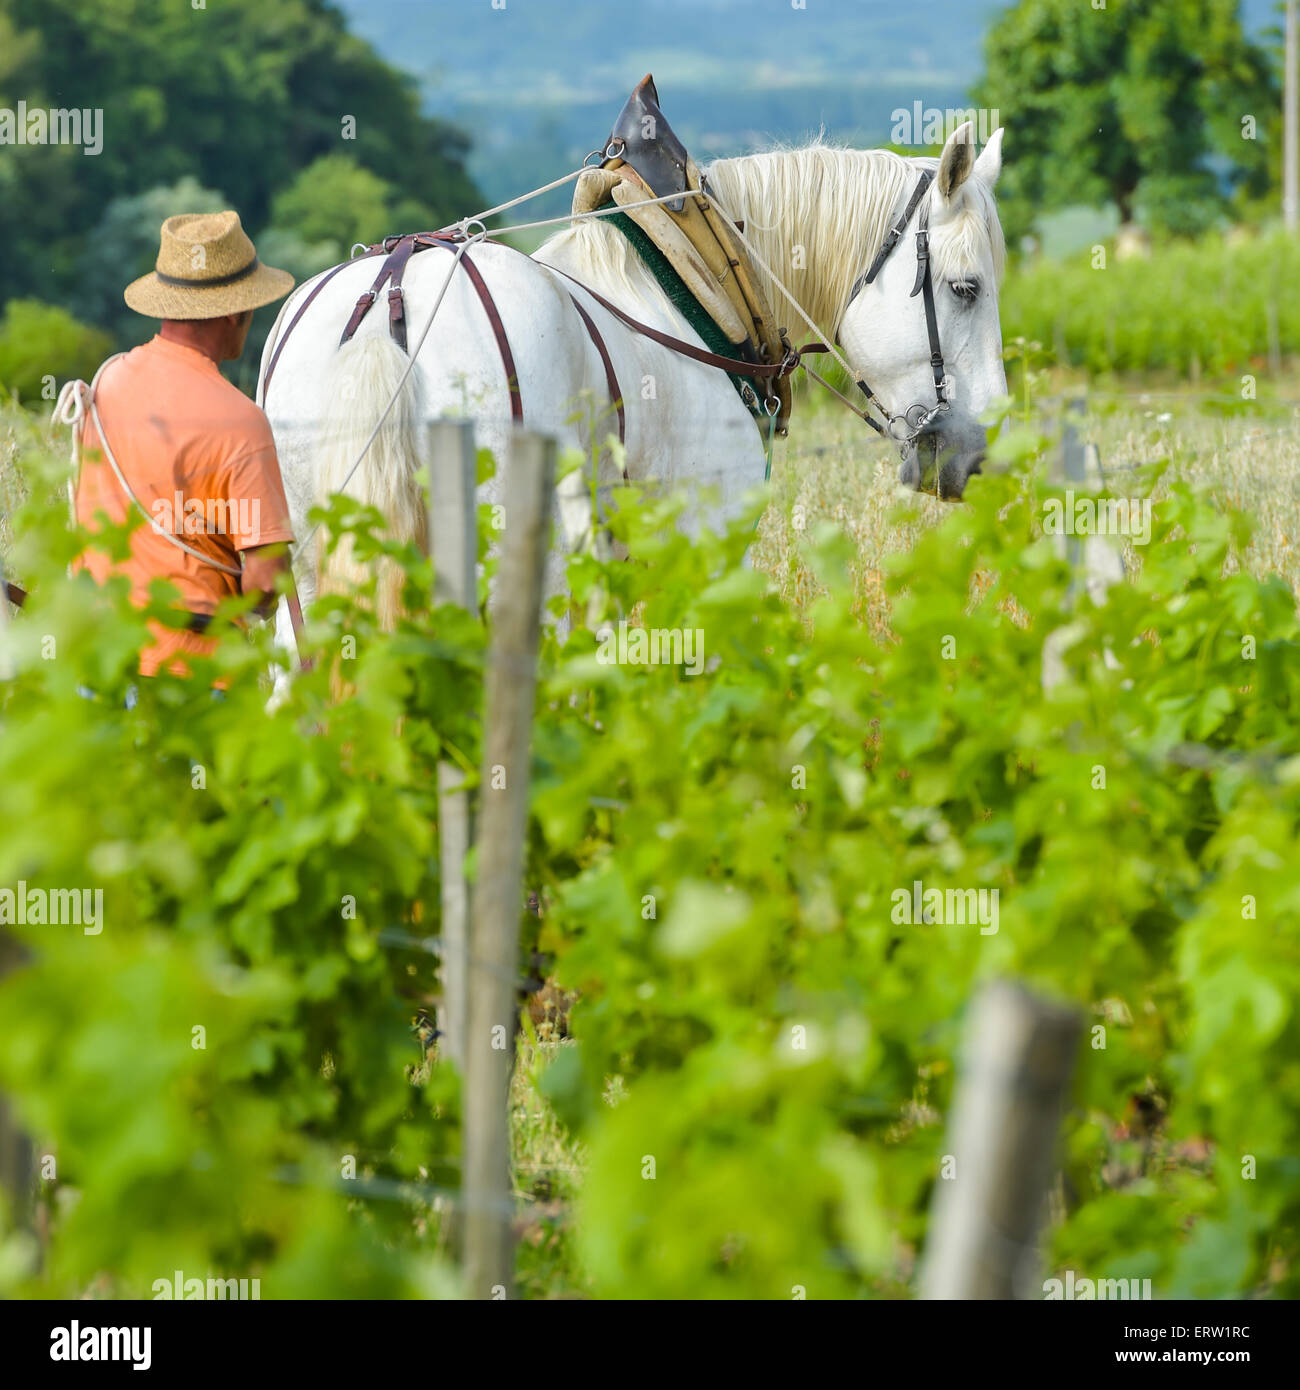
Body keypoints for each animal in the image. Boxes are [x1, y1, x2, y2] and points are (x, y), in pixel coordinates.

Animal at [257, 121, 1007, 630]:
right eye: (965, 288)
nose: (976, 454)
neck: (693, 291)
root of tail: (391, 292)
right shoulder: (706, 546)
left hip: (304, 590)